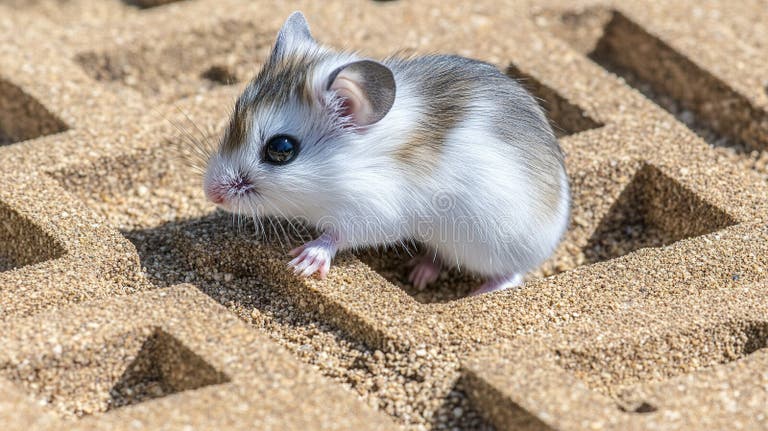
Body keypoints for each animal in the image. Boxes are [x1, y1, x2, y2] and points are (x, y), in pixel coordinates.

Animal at [203, 12, 570, 296]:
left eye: (281, 149)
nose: (211, 194)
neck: (355, 161)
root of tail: (555, 228)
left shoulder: (373, 211)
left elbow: (336, 235)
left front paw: (306, 261)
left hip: (494, 247)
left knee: (512, 274)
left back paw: (479, 292)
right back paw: (421, 272)